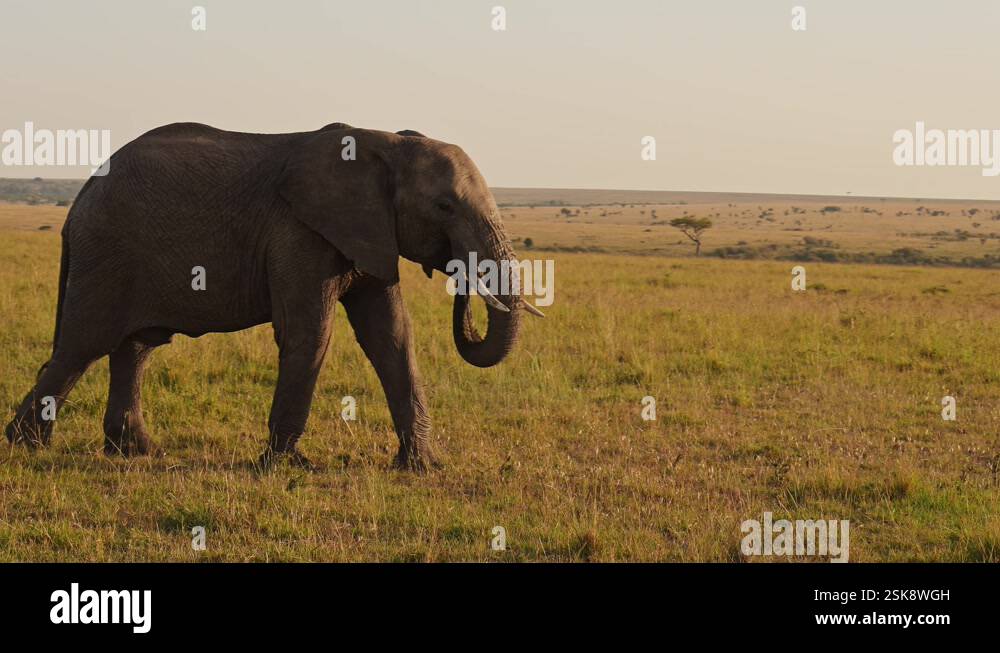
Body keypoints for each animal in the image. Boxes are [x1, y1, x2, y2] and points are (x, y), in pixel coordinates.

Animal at [4, 121, 542, 470]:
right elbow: (310, 331)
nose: (459, 278)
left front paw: (424, 466)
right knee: (81, 347)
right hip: (106, 252)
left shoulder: (369, 231)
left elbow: (391, 337)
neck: (387, 141)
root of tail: (78, 199)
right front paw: (288, 465)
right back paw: (26, 446)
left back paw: (138, 452)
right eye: (444, 206)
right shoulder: (298, 232)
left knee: (133, 348)